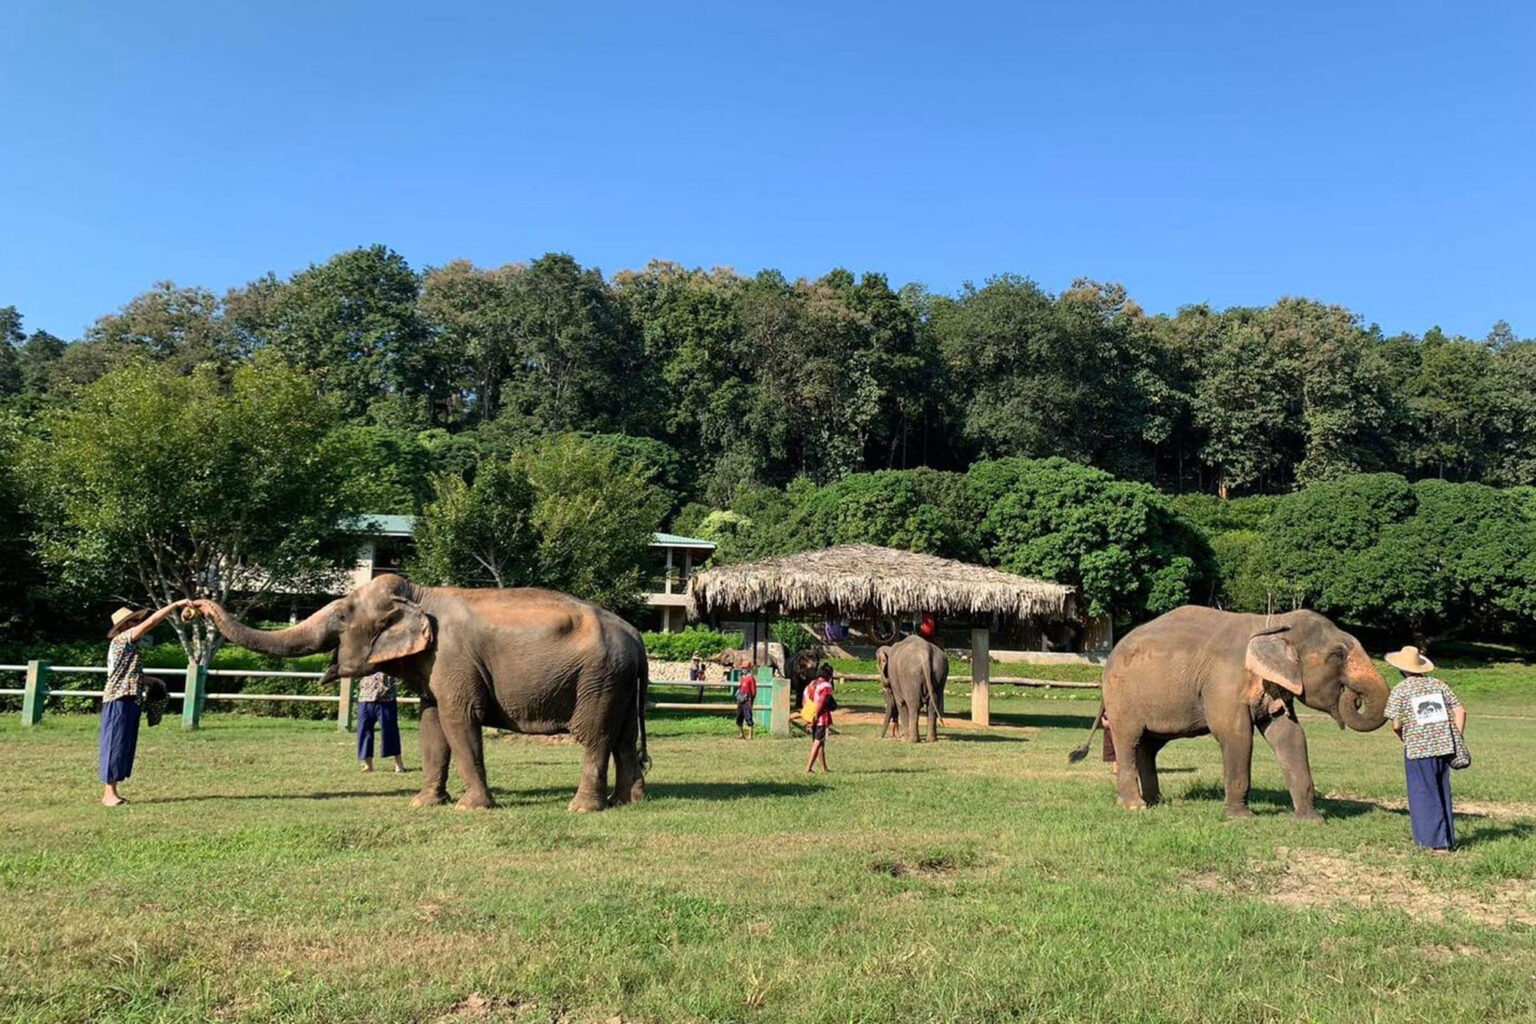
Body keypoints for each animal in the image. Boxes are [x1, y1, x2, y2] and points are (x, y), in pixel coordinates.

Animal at [195, 573, 648, 813]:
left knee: (595, 737)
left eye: (341, 617)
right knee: (624, 739)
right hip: (620, 682)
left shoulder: (454, 661)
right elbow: (432, 724)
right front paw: (424, 802)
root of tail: (636, 635)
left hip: (599, 679)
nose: (193, 606)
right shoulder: (436, 671)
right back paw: (628, 801)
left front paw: (470, 808)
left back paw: (584, 807)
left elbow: (458, 721)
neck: (419, 594)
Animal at [1068, 606, 1388, 820]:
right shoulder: (1224, 681)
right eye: (1338, 655)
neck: (1274, 622)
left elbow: (1290, 735)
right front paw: (1240, 818)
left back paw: (1157, 801)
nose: (1353, 697)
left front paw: (1311, 819)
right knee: (1130, 741)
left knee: (1149, 746)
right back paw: (1136, 807)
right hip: (1123, 699)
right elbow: (1236, 735)